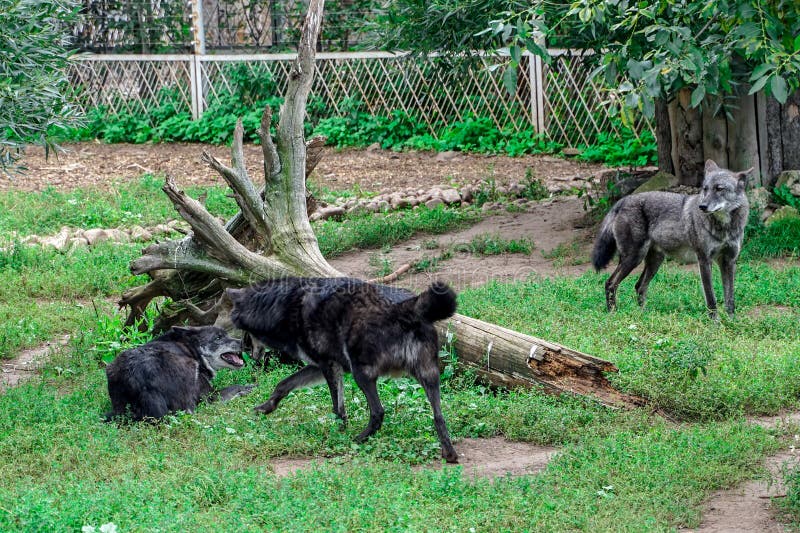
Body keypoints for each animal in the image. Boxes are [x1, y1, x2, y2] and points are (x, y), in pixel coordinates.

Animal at [105, 326, 253, 421]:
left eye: (226, 334)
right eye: (218, 338)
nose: (244, 342)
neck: (192, 349)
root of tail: (139, 377)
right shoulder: (211, 394)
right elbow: (233, 387)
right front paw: (248, 388)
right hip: (190, 367)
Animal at [226, 277, 460, 463]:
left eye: (242, 333)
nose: (241, 351)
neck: (284, 306)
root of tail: (405, 308)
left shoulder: (328, 365)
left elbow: (337, 409)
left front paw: (338, 435)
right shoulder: (319, 366)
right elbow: (283, 384)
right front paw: (266, 407)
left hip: (361, 375)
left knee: (378, 412)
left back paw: (358, 440)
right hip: (428, 376)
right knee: (439, 417)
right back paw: (449, 454)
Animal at [592, 160, 751, 318]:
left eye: (719, 189)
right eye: (705, 189)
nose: (702, 206)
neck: (724, 227)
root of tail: (623, 200)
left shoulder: (728, 262)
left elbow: (730, 298)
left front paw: (731, 320)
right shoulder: (704, 261)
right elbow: (711, 298)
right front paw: (715, 322)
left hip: (654, 262)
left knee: (639, 286)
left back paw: (644, 315)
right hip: (633, 259)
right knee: (610, 283)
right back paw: (613, 314)